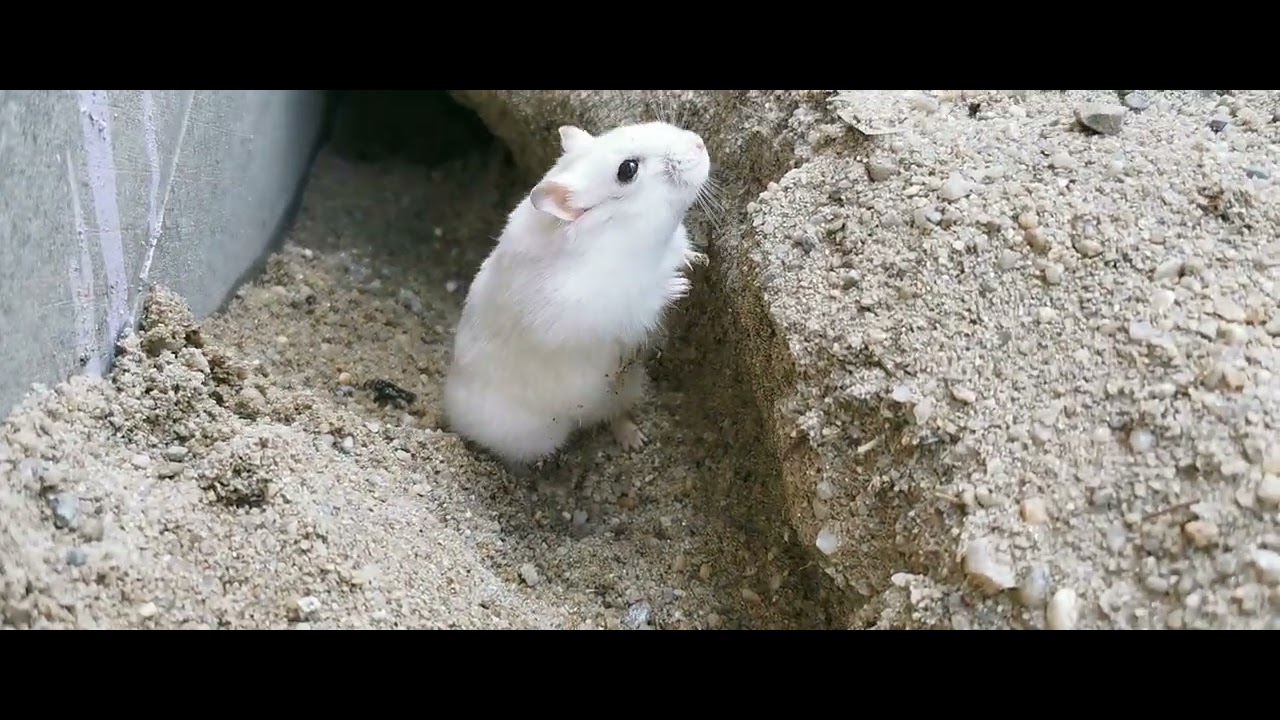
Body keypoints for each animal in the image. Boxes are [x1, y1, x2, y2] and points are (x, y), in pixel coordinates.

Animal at [442, 120, 711, 465]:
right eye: (628, 169)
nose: (700, 144)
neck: (625, 231)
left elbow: (680, 252)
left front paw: (697, 260)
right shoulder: (605, 308)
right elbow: (647, 299)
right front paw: (679, 285)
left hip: (627, 386)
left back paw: (635, 441)